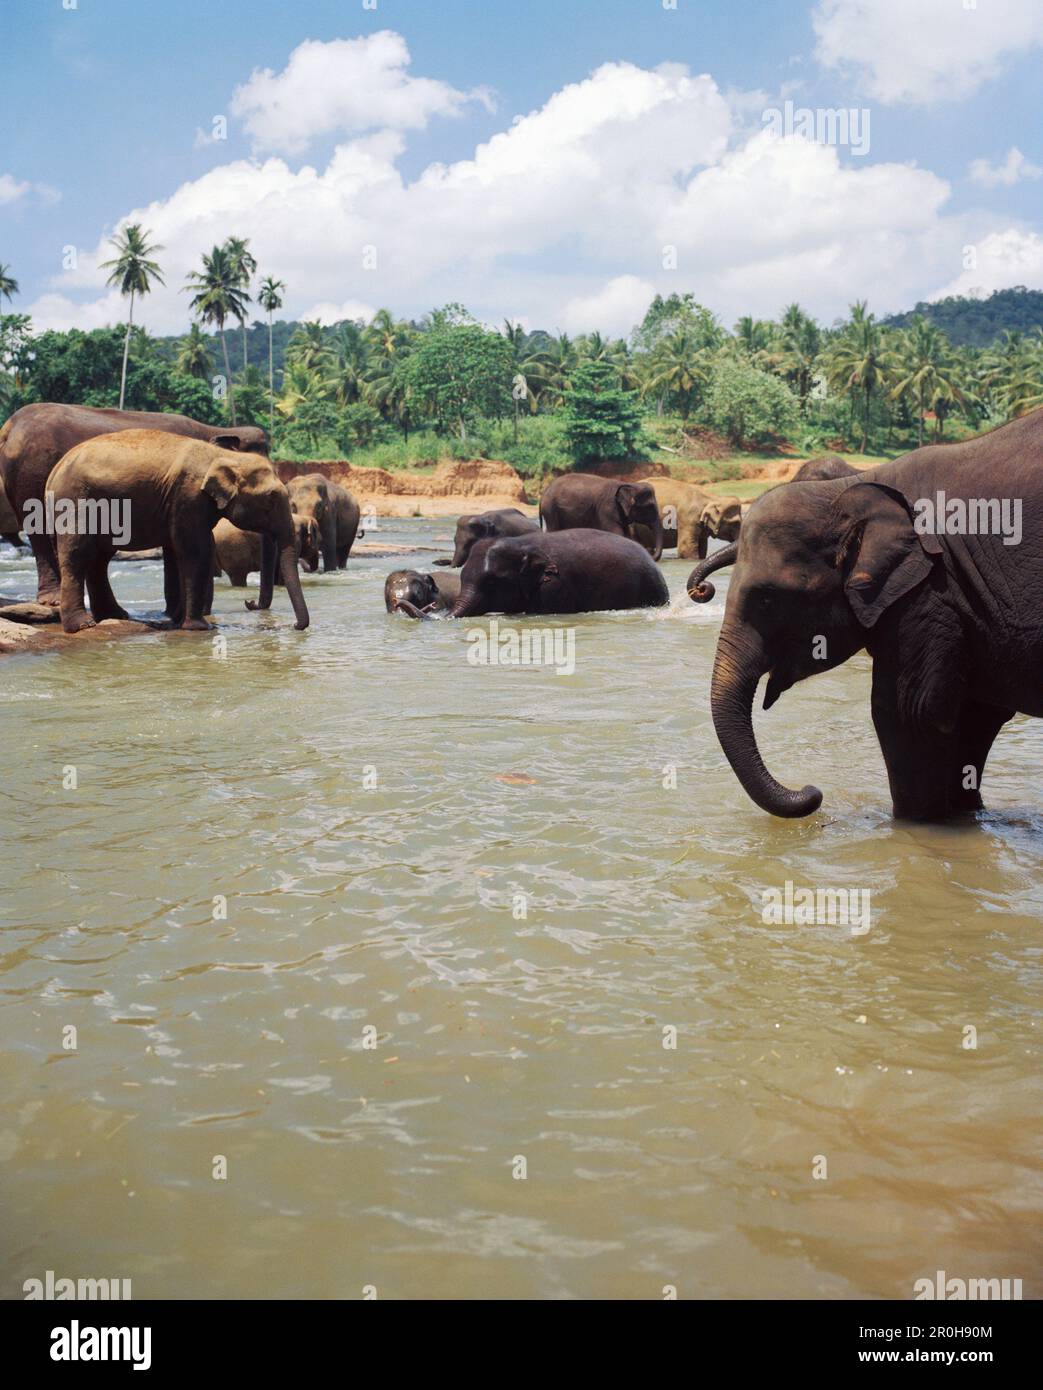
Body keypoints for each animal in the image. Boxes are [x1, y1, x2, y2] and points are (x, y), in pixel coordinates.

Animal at [0, 403, 267, 605]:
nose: (249, 602)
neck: (217, 429)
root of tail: (8, 428)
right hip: (32, 477)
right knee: (40, 532)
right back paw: (53, 600)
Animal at [46, 430, 309, 634]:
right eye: (270, 499)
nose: (250, 602)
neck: (224, 456)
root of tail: (54, 471)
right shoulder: (188, 496)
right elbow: (195, 551)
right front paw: (200, 627)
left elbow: (181, 550)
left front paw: (179, 621)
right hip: (76, 501)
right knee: (79, 553)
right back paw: (82, 626)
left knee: (99, 558)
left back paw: (116, 615)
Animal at [707, 410, 1043, 821]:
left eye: (768, 599)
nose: (813, 791)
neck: (852, 487)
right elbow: (978, 711)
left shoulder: (929, 594)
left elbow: (910, 711)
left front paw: (922, 826)